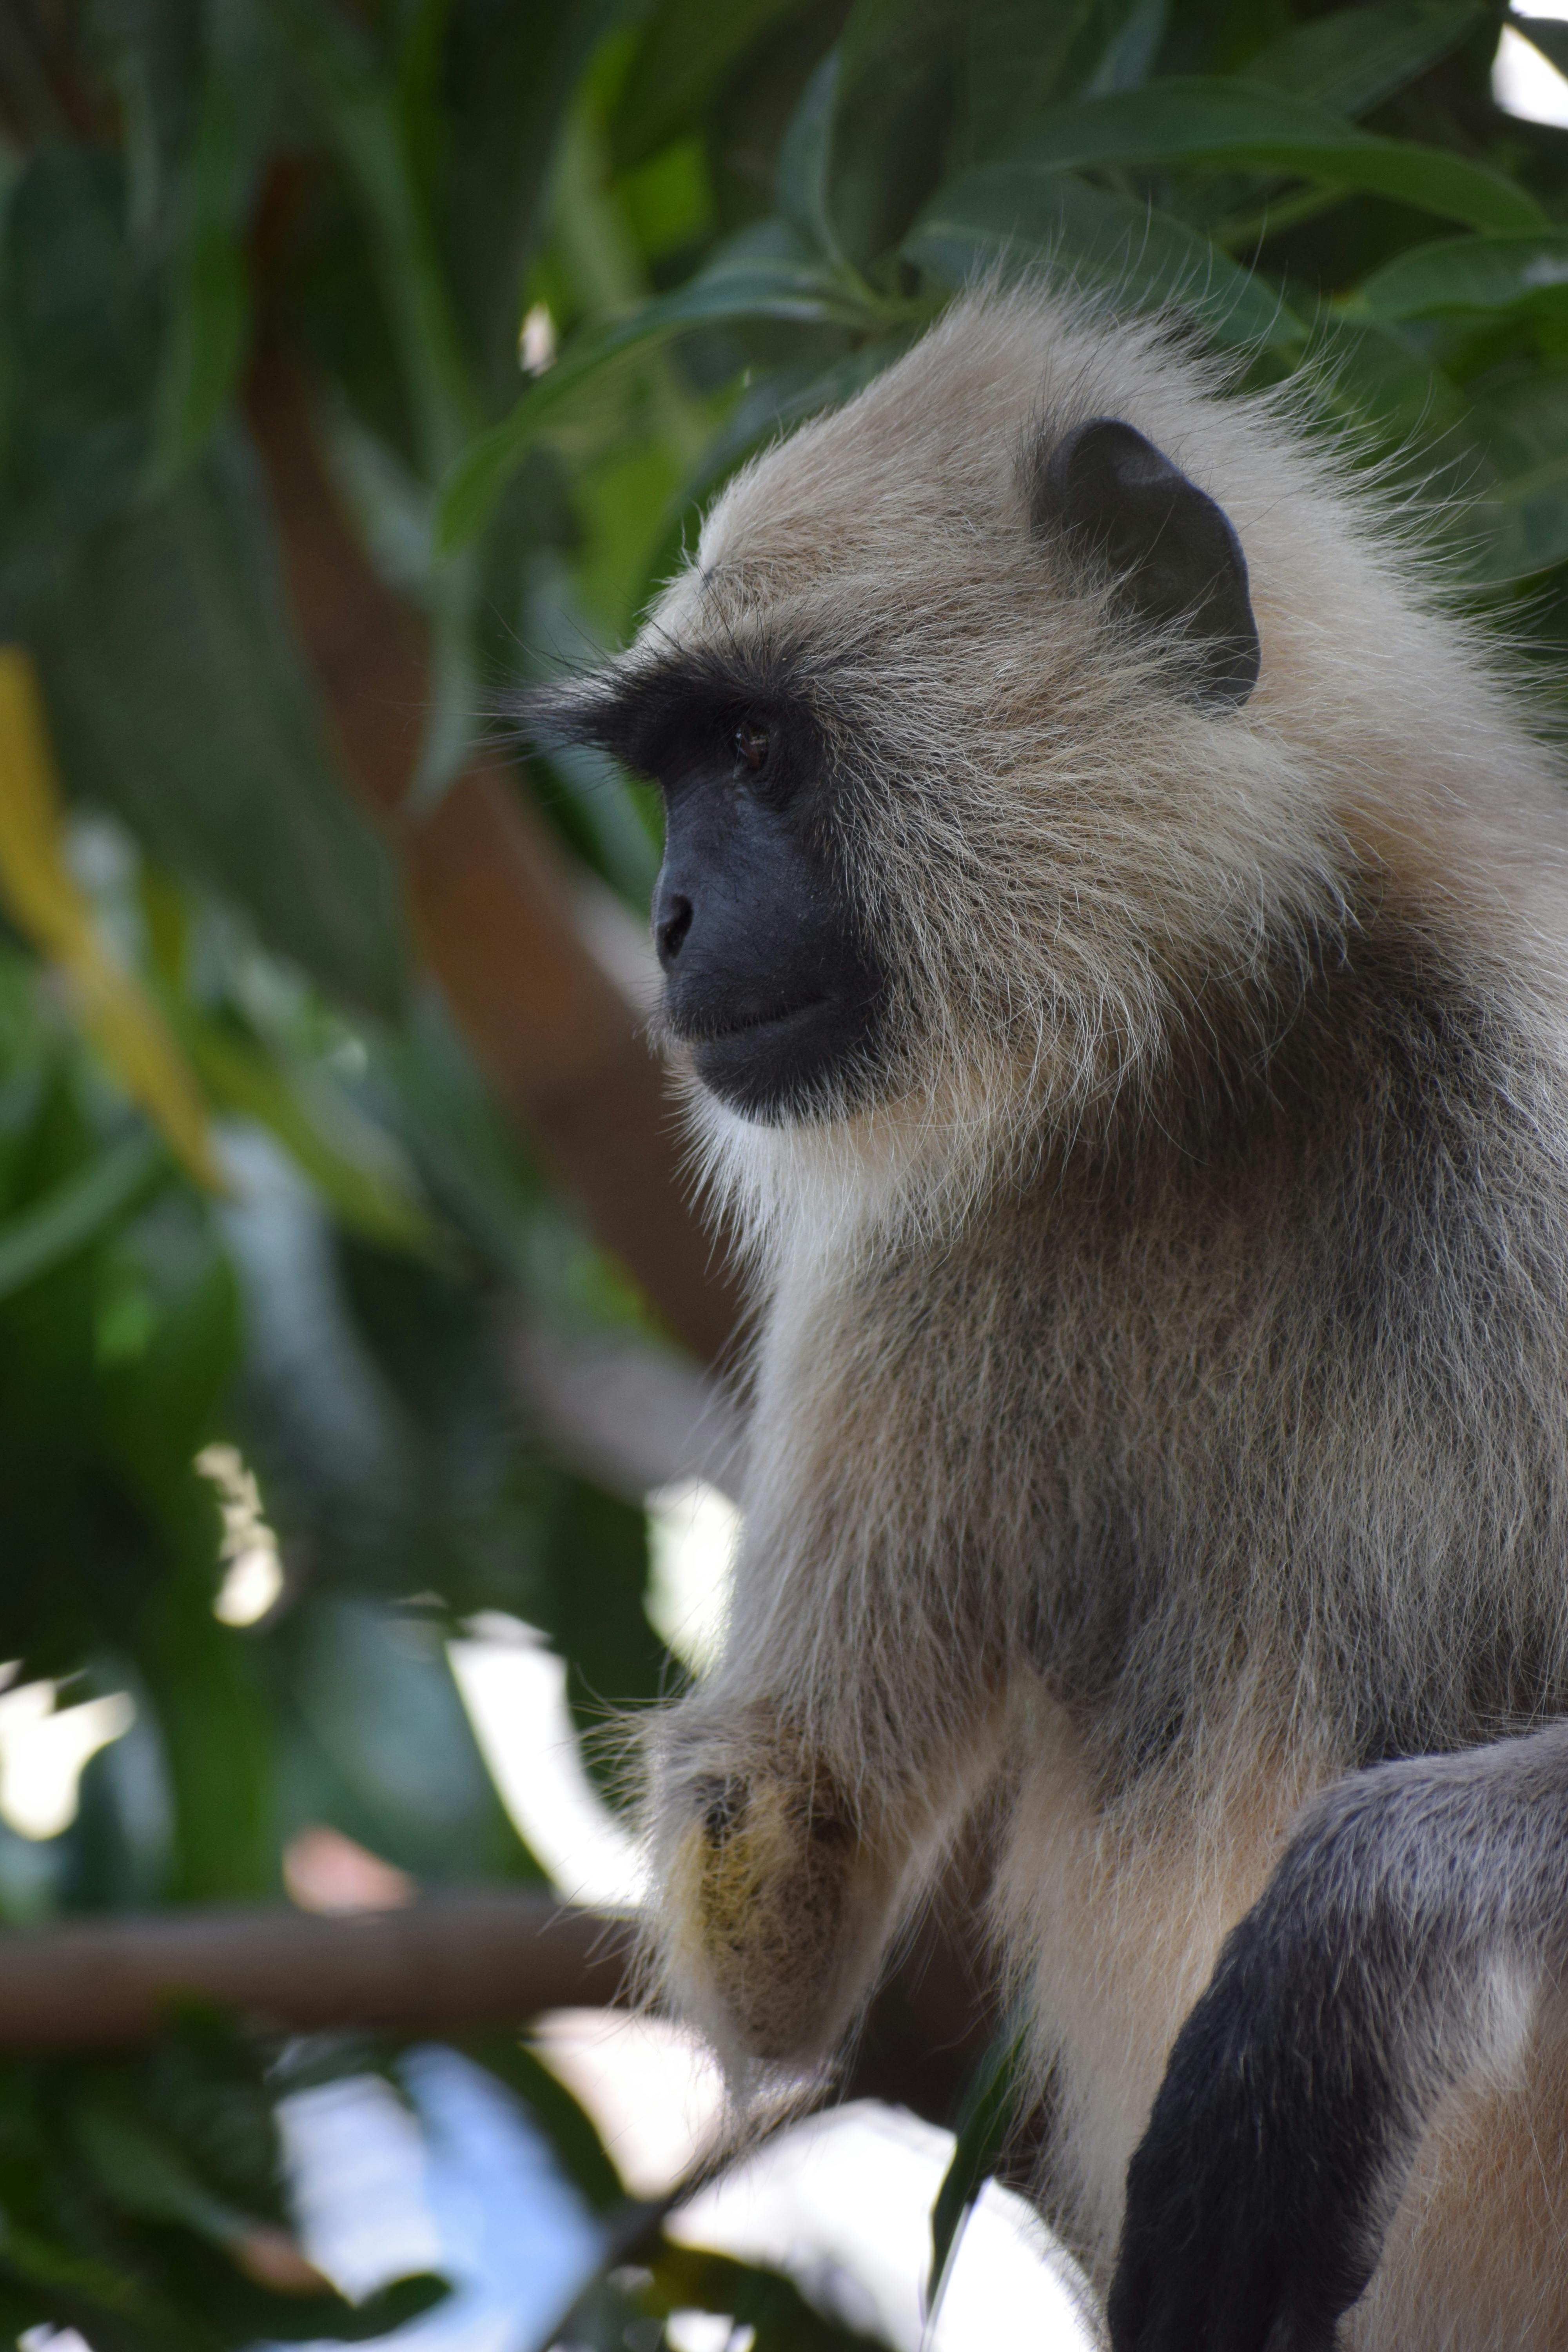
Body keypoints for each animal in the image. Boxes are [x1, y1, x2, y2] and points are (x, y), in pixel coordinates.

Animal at [529, 282, 1568, 2350]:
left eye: (756, 750)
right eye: (670, 773)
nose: (670, 919)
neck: (1229, 1075)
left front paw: (1331, 1958)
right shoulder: (920, 1267)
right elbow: (795, 1869)